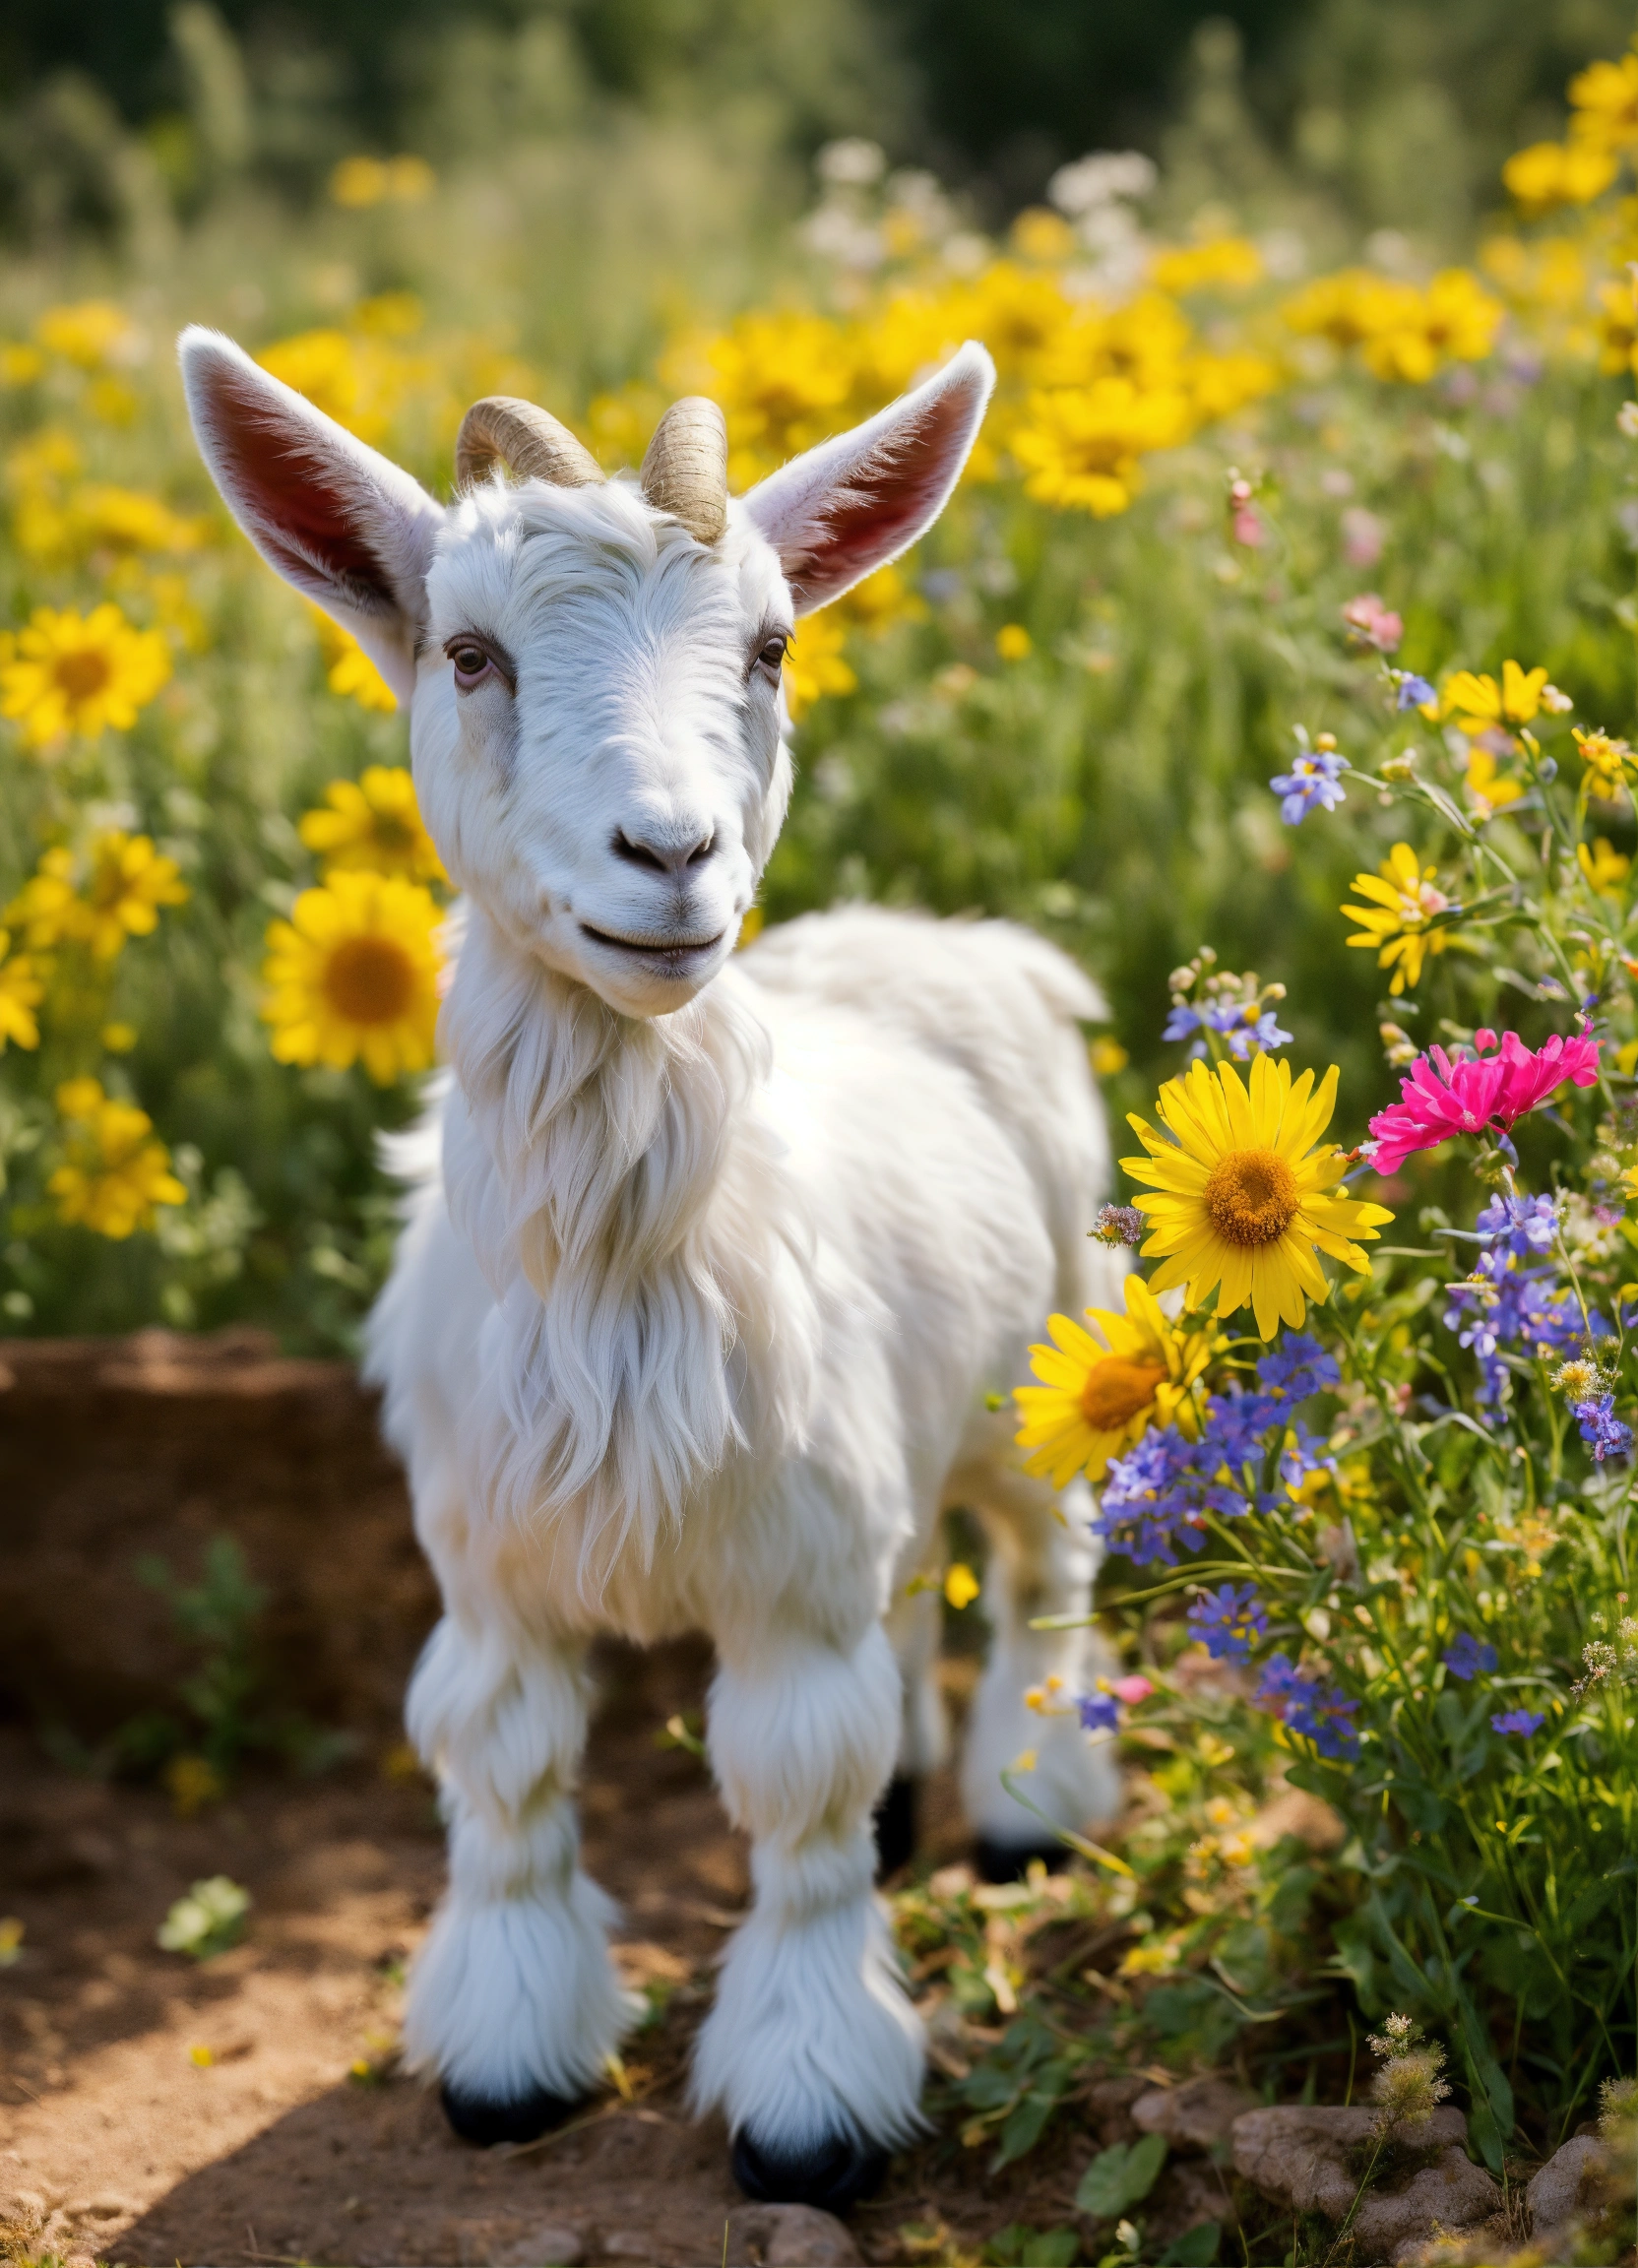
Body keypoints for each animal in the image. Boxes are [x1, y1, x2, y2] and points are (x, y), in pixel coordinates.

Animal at [180, 325, 1123, 2212]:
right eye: (468, 652)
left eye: (768, 646)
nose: (673, 859)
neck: (618, 1274)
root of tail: (963, 942)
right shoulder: (492, 1567)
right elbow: (506, 1780)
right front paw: (502, 2072)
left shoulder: (786, 1585)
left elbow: (797, 1813)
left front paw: (810, 2114)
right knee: (919, 1592)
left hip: (1045, 1353)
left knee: (1043, 1561)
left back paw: (1025, 1808)